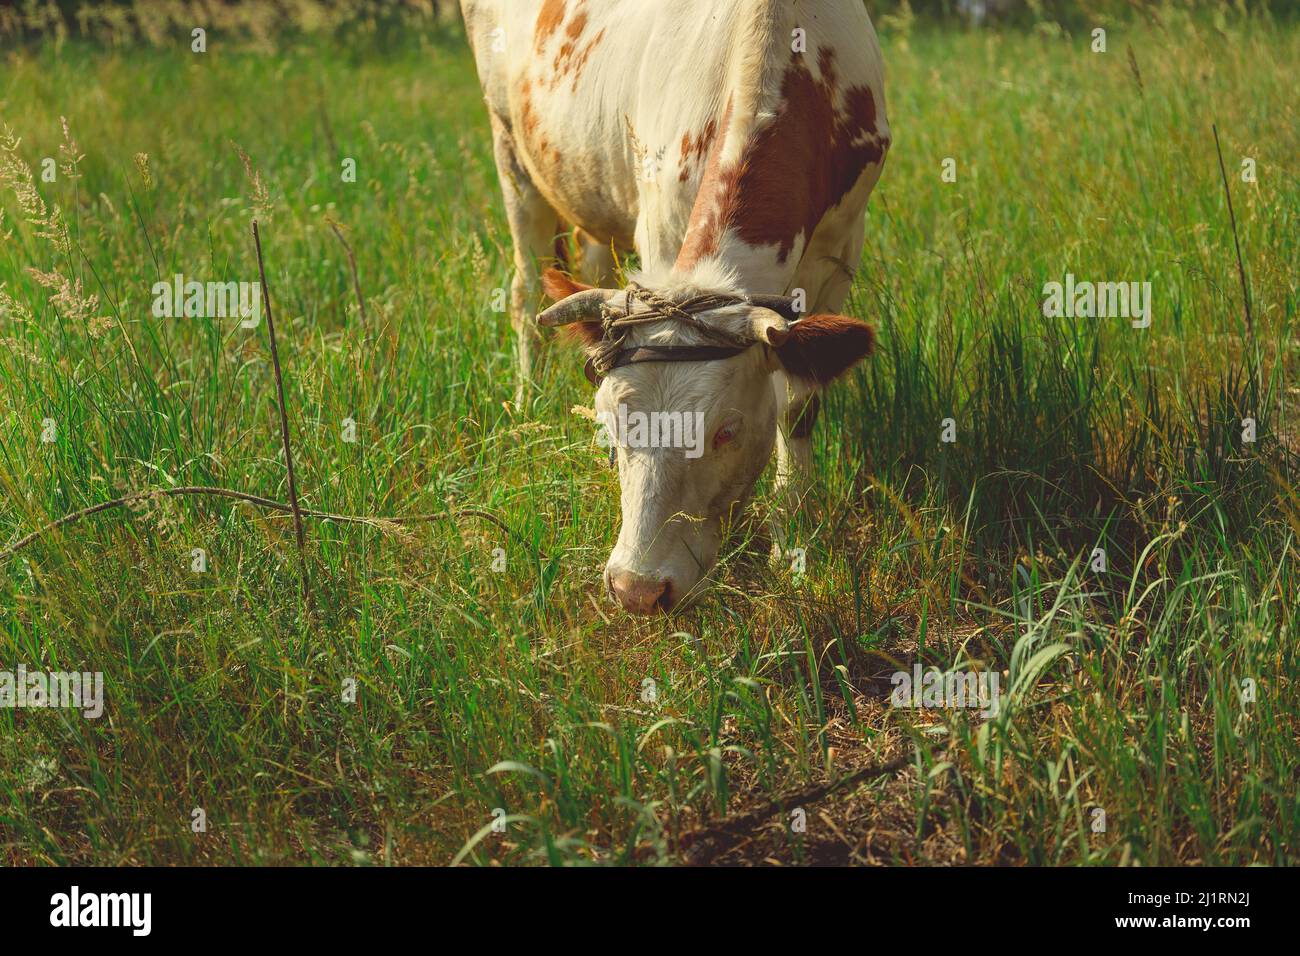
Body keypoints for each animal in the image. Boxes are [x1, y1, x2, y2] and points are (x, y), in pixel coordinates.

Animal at [462, 0, 890, 614]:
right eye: (611, 425)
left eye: (727, 432)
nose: (637, 590)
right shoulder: (660, 231)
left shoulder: (839, 252)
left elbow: (797, 403)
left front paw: (793, 544)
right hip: (512, 153)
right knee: (524, 294)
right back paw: (525, 402)